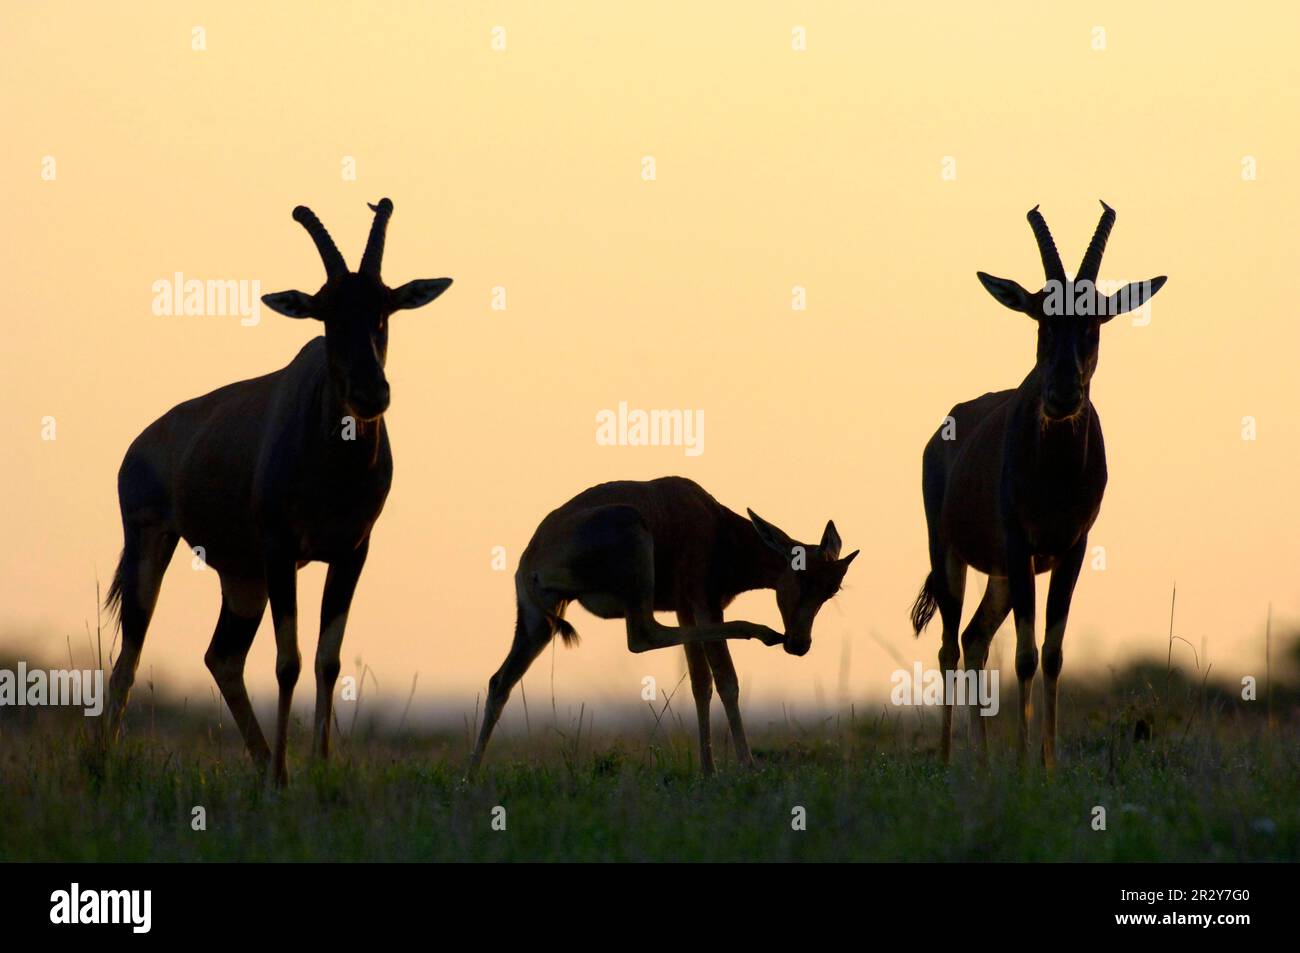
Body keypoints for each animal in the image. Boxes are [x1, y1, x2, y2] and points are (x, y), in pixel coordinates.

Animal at [103, 199, 452, 784]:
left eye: (385, 307)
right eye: (326, 313)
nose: (371, 393)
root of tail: (146, 439)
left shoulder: (352, 552)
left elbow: (327, 660)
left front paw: (318, 766)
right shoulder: (281, 549)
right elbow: (288, 661)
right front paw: (285, 778)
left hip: (243, 578)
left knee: (222, 657)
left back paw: (265, 760)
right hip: (153, 543)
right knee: (127, 658)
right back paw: (102, 761)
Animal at [468, 476, 858, 774]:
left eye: (832, 589)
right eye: (802, 576)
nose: (798, 643)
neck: (716, 523)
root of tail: (534, 554)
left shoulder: (685, 610)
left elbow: (701, 682)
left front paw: (708, 771)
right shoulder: (704, 605)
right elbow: (726, 678)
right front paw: (747, 766)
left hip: (539, 622)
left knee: (500, 681)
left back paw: (470, 777)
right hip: (629, 569)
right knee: (642, 635)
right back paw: (761, 632)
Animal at [910, 202, 1166, 769]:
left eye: (1093, 319)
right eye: (1041, 316)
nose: (1062, 395)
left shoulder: (1071, 550)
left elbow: (1052, 653)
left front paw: (1047, 765)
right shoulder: (1020, 543)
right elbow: (1026, 656)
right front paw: (1028, 764)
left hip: (1004, 575)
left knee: (976, 637)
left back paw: (984, 763)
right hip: (952, 556)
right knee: (949, 645)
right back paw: (946, 760)